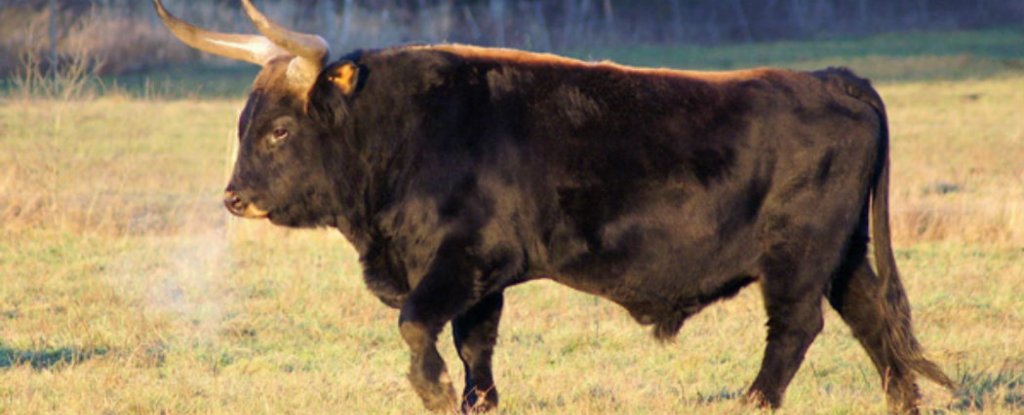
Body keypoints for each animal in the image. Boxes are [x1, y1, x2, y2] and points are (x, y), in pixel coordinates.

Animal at [154, 1, 955, 413]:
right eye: (245, 123)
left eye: (280, 130)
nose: (234, 197)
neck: (412, 129)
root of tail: (833, 78)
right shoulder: (481, 281)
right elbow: (475, 346)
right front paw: (475, 399)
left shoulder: (460, 262)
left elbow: (418, 326)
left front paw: (434, 391)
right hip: (842, 255)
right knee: (874, 321)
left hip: (797, 257)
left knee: (794, 329)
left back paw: (752, 402)